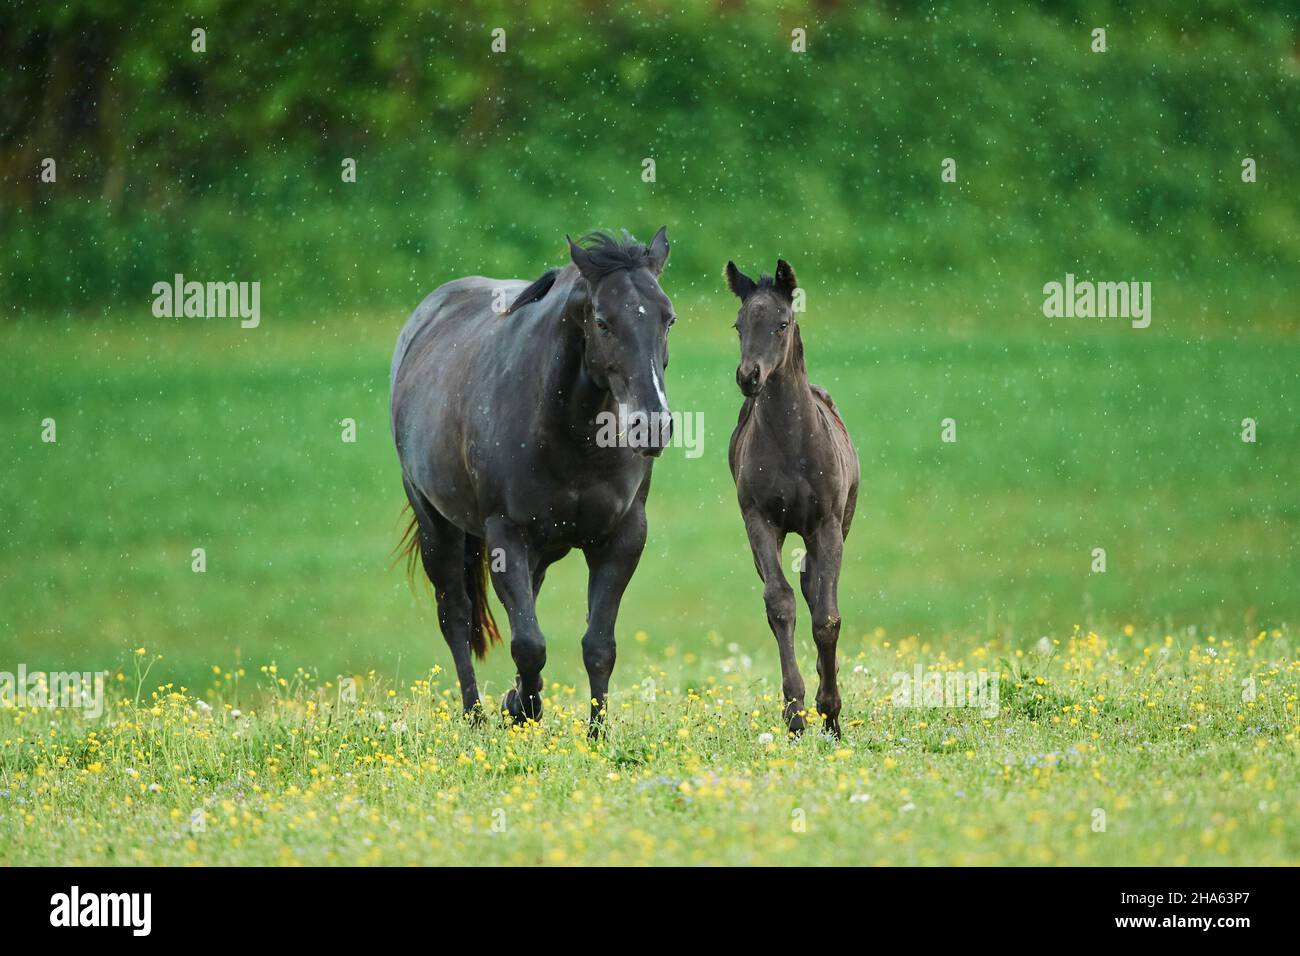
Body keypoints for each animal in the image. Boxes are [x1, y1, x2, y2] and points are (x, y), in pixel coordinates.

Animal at [391, 228, 676, 733]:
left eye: (669, 319)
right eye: (602, 322)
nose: (653, 425)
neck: (574, 434)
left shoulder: (622, 537)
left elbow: (598, 646)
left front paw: (595, 734)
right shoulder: (506, 534)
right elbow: (528, 644)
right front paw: (522, 708)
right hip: (437, 526)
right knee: (456, 616)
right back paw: (476, 717)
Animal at [725, 259, 860, 737]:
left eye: (782, 323)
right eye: (739, 324)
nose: (749, 376)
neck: (791, 441)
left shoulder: (827, 525)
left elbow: (827, 616)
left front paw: (831, 711)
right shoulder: (759, 522)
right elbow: (780, 604)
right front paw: (797, 713)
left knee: (816, 589)